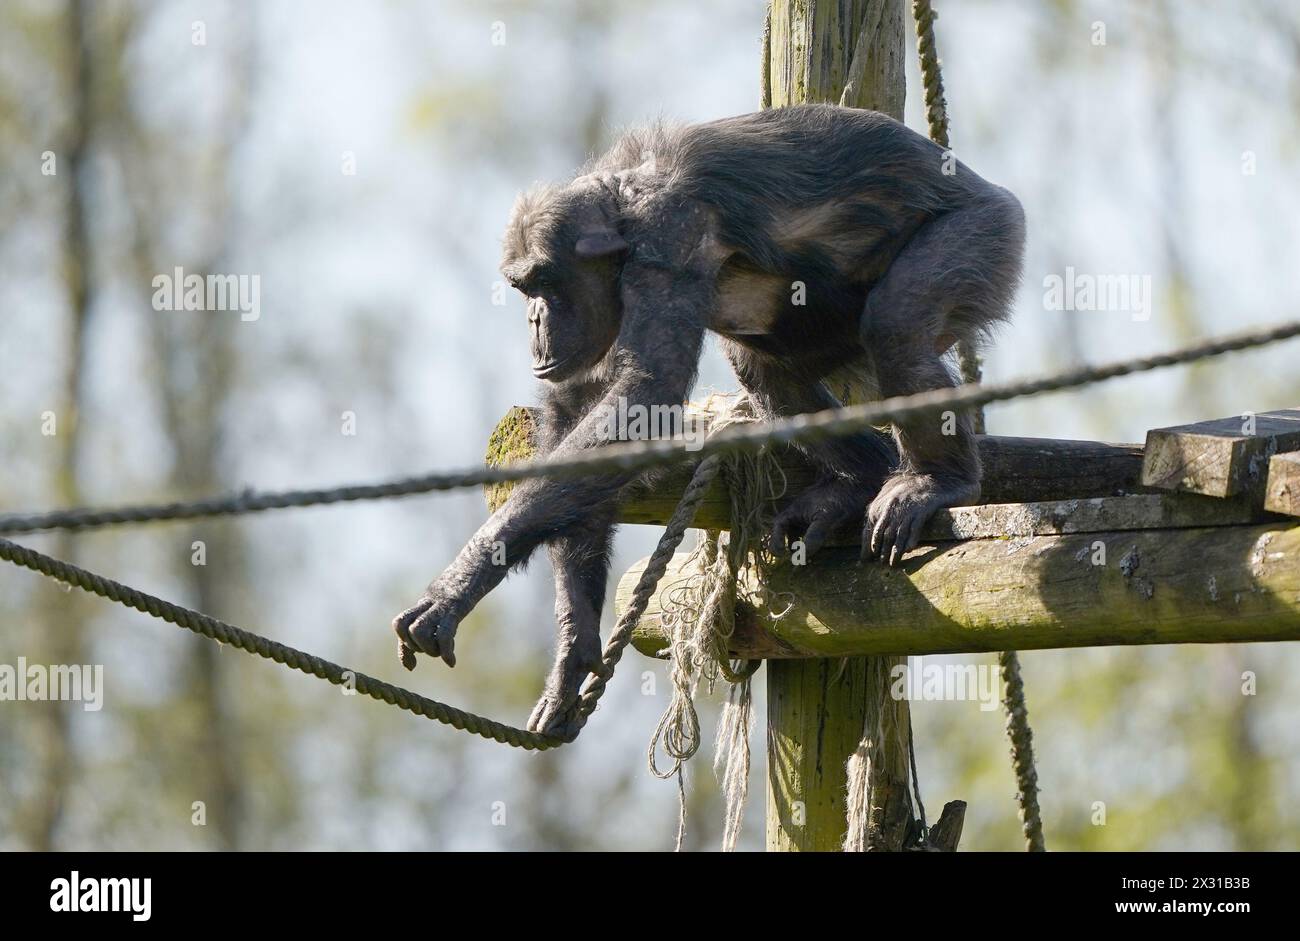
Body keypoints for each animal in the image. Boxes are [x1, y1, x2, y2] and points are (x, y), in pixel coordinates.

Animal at [393, 102, 1025, 738]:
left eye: (544, 281)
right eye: (522, 286)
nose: (534, 319)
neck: (624, 217)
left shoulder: (668, 234)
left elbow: (644, 391)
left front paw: (457, 585)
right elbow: (578, 409)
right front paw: (571, 650)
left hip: (985, 233)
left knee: (896, 325)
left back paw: (933, 481)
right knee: (763, 365)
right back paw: (857, 482)